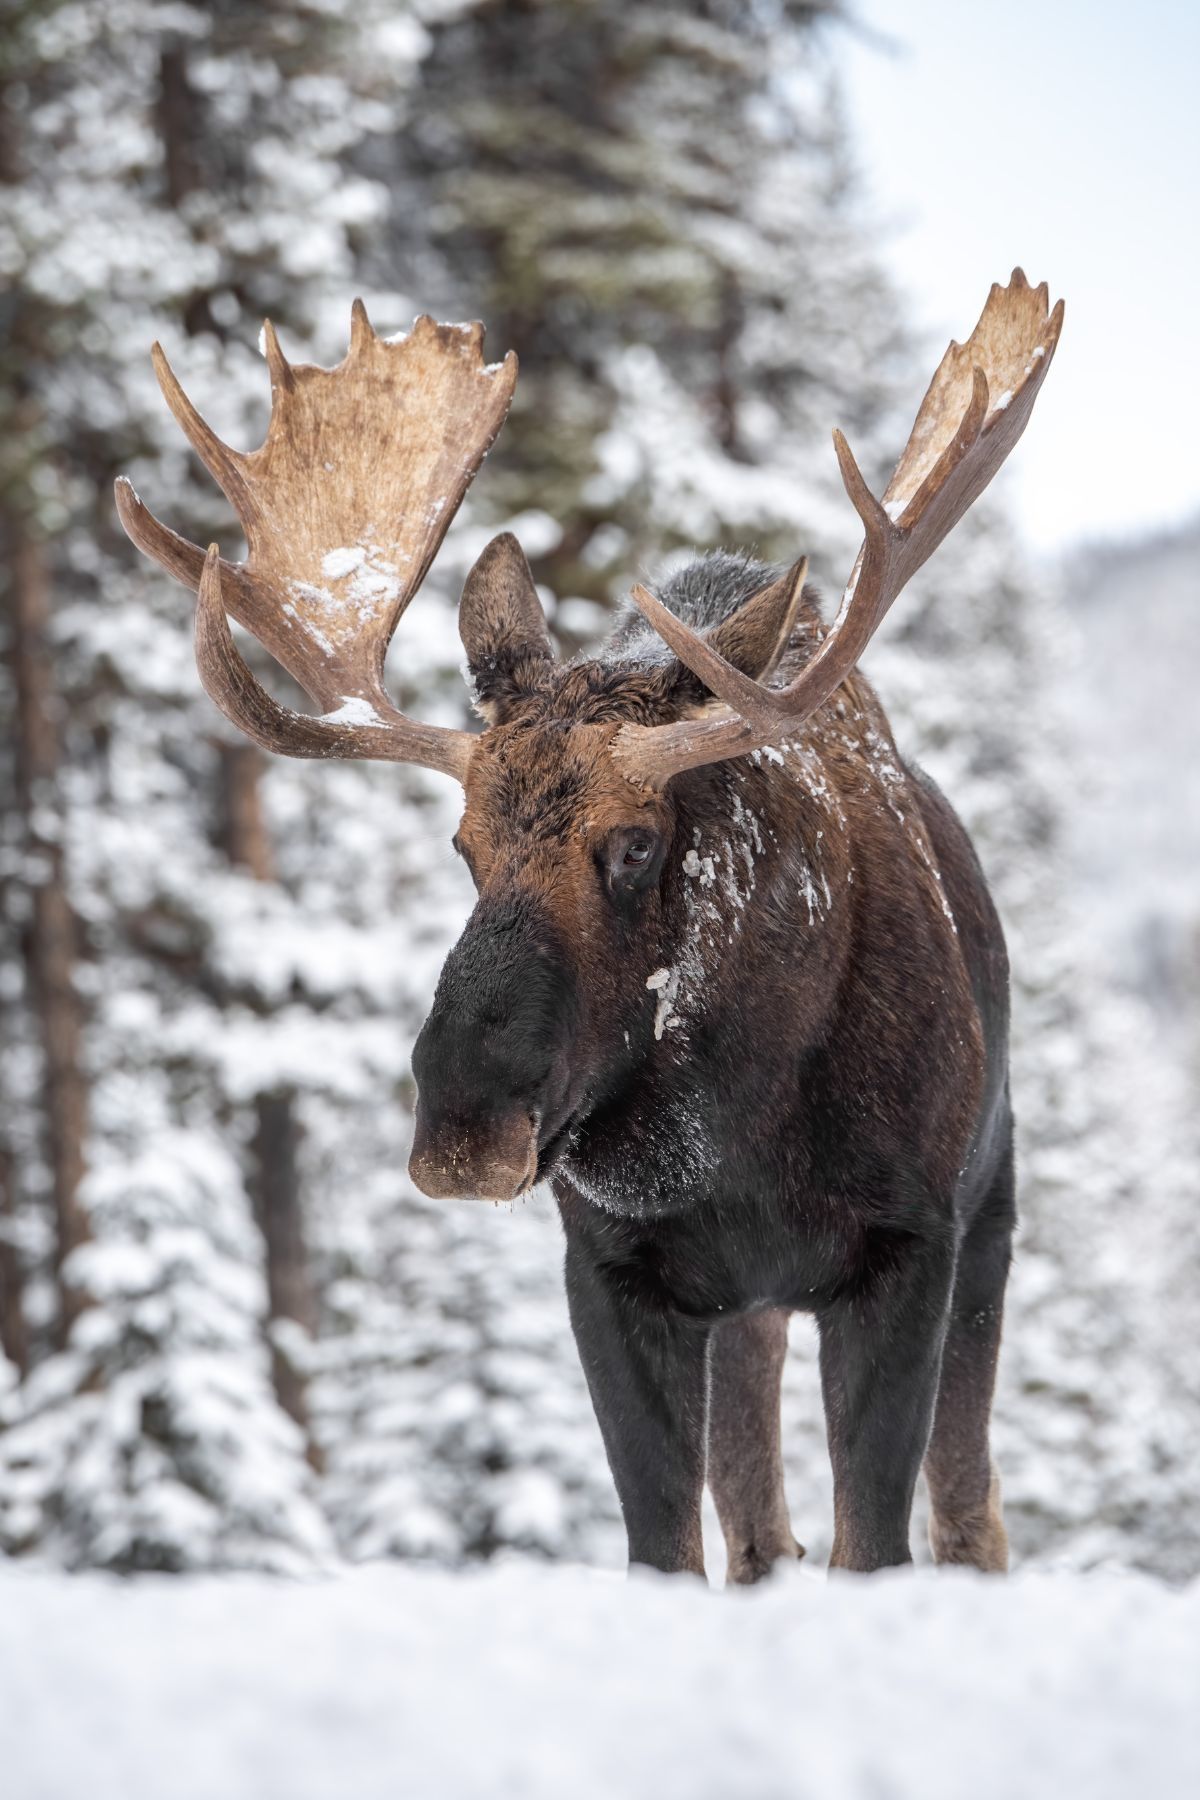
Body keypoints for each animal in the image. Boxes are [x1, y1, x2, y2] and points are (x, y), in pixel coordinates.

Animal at [117, 272, 1062, 1580]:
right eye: (463, 845)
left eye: (636, 843)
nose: (464, 1121)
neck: (743, 1131)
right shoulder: (614, 1268)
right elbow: (667, 1545)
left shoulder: (910, 1243)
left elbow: (878, 1541)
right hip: (752, 1315)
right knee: (759, 1527)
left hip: (995, 1207)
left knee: (969, 1509)